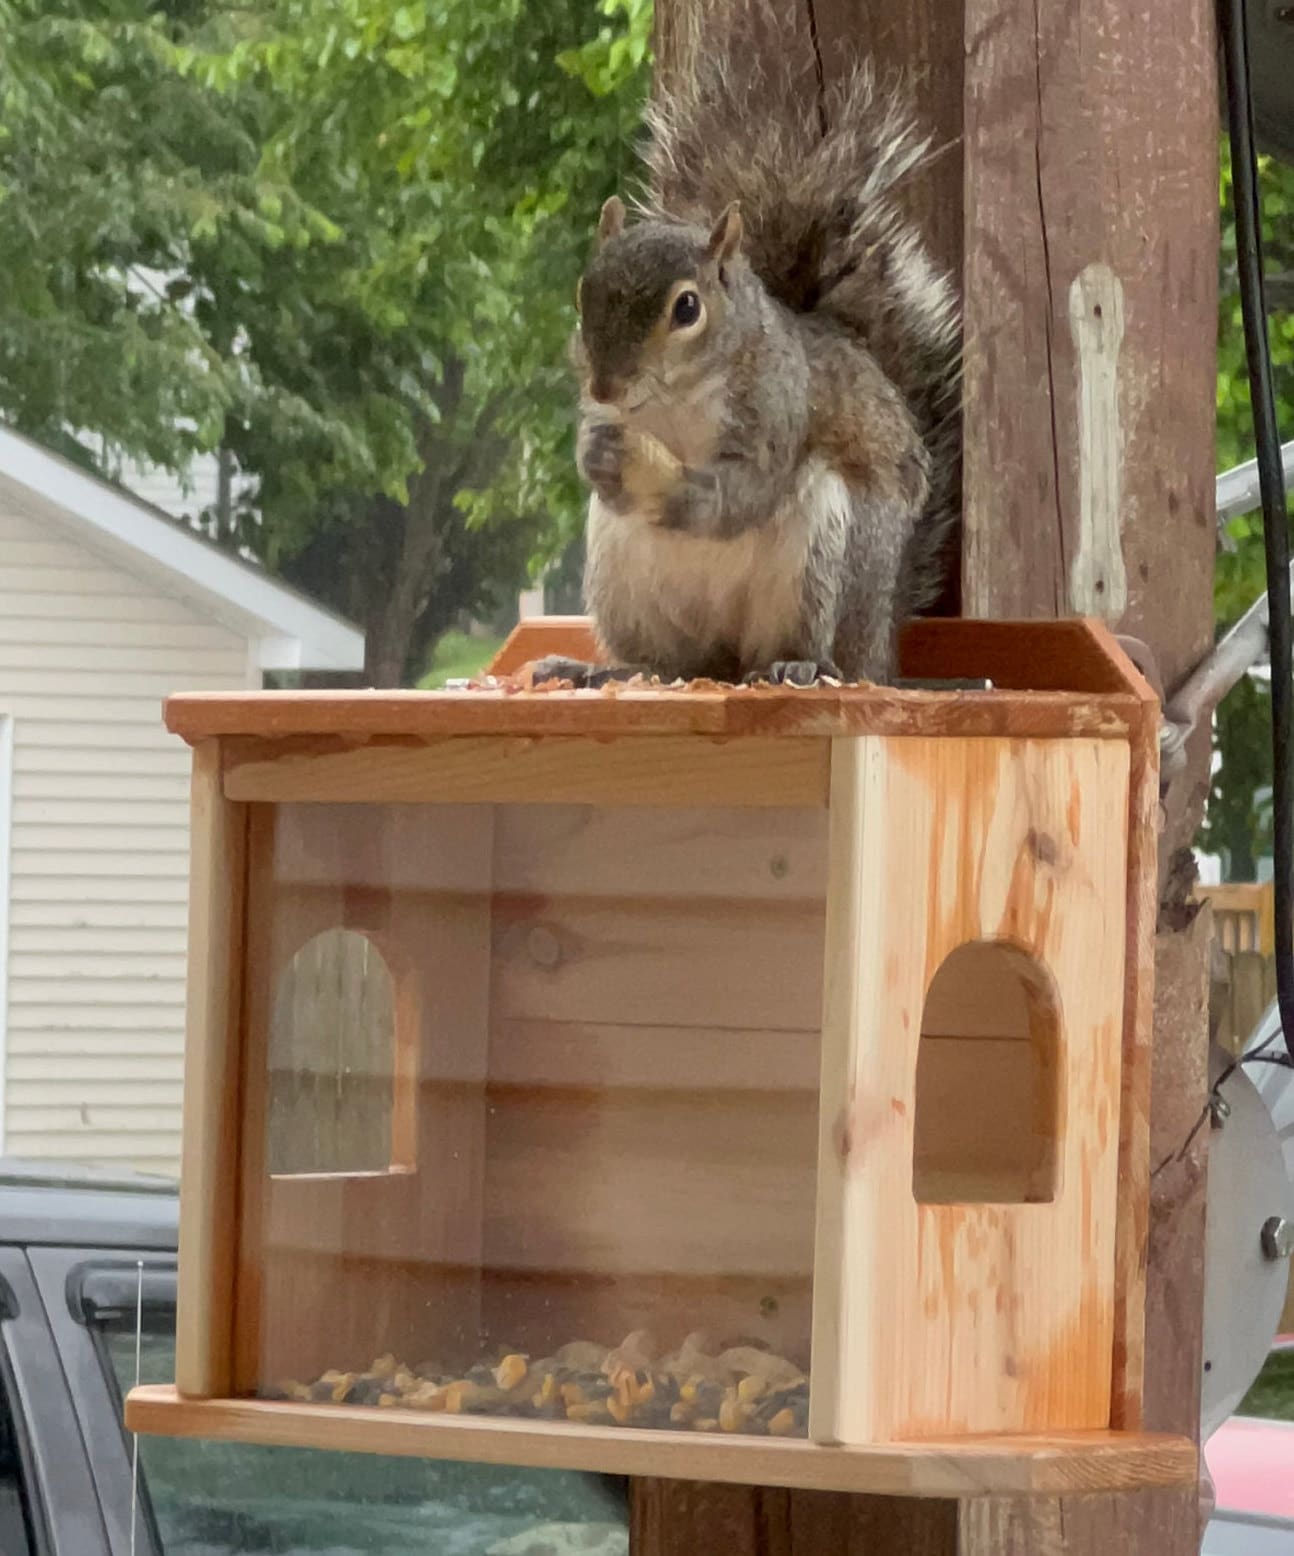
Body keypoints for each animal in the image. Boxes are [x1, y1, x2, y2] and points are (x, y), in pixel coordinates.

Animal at [533, 3, 961, 690]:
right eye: (582, 292)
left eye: (687, 307)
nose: (604, 384)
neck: (675, 401)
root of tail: (881, 648)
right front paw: (592, 453)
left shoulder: (776, 413)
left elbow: (742, 493)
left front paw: (665, 482)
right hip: (623, 573)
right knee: (673, 662)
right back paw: (605, 670)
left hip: (827, 557)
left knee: (808, 648)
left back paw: (797, 663)